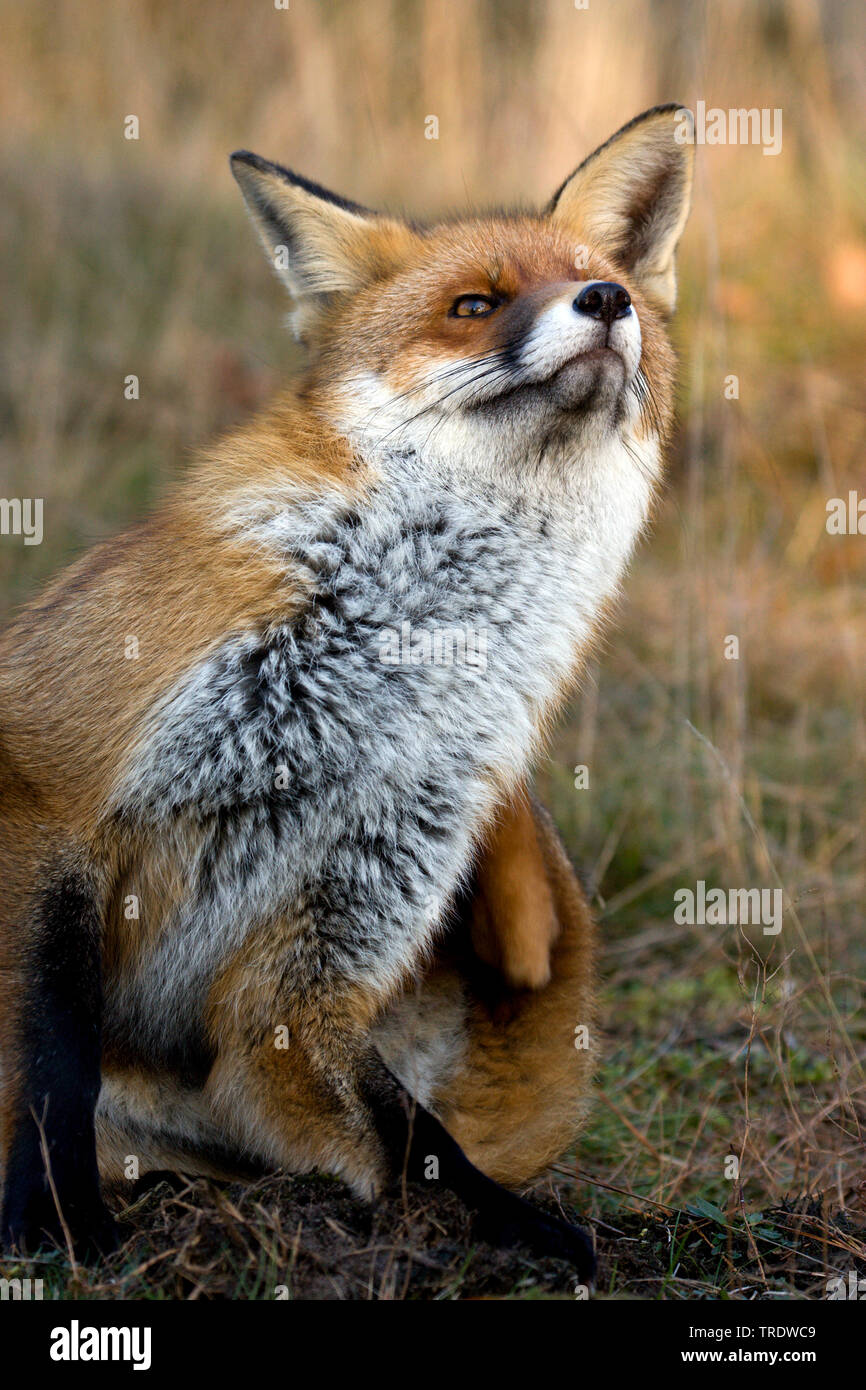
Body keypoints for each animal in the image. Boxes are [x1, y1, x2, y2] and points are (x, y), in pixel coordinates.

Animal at [0, 104, 693, 1282]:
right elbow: (48, 1057)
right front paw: (55, 1223)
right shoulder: (53, 781)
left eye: (609, 286)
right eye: (474, 306)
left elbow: (418, 1136)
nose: (606, 303)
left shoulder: (321, 941)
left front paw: (526, 1233)